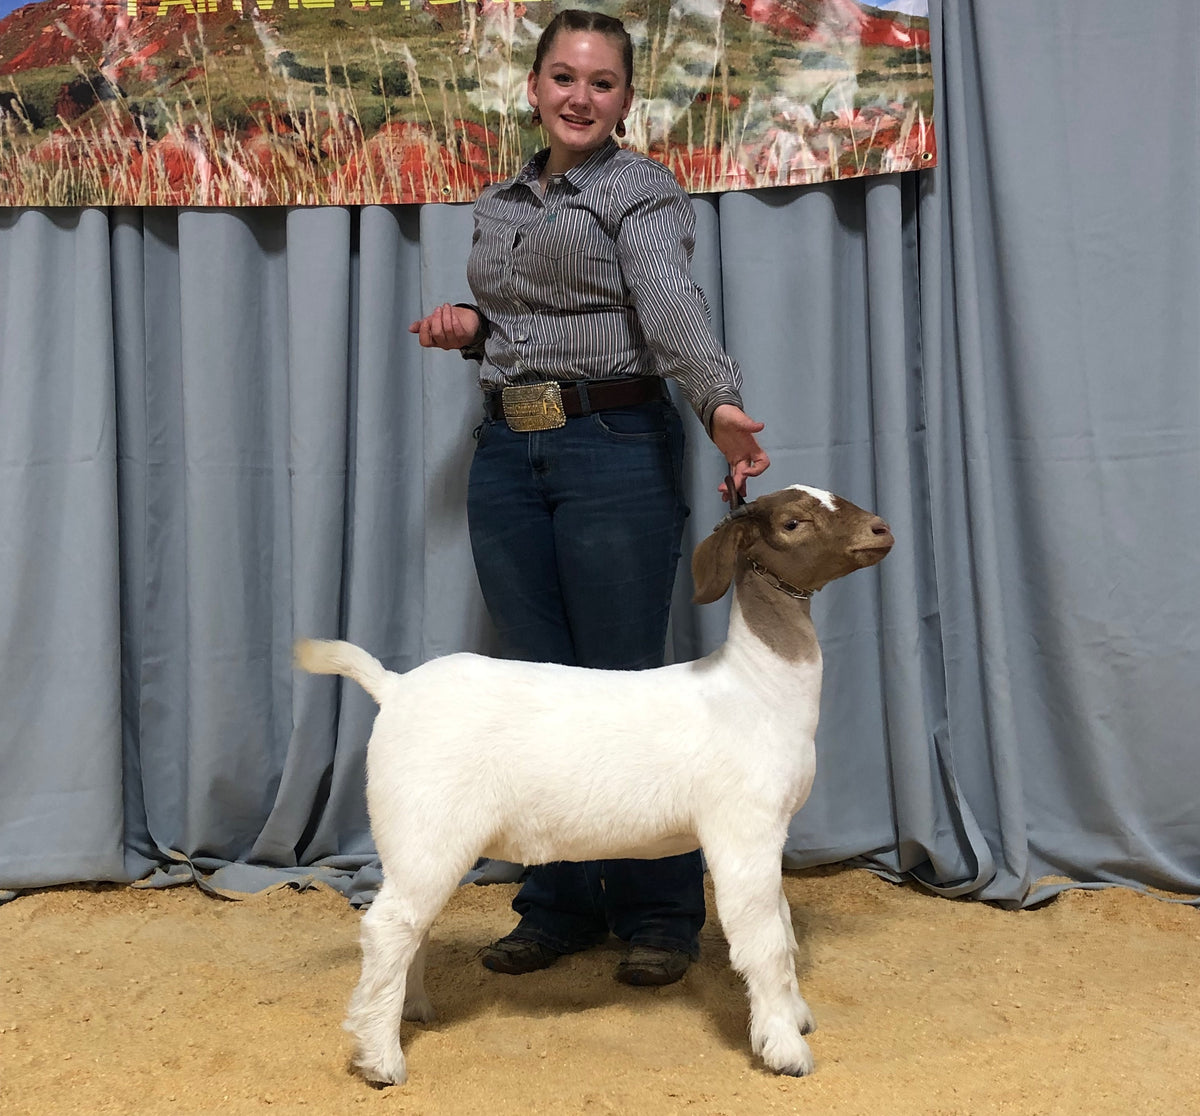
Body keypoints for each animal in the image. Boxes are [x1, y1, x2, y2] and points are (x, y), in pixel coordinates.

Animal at [295, 484, 893, 1085]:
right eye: (793, 523)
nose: (882, 531)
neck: (756, 688)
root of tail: (392, 688)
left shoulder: (772, 830)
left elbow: (785, 930)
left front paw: (797, 1016)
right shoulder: (744, 830)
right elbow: (766, 942)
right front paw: (785, 1048)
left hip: (421, 841)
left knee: (410, 925)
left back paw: (412, 1009)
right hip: (426, 825)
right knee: (389, 926)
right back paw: (382, 1058)